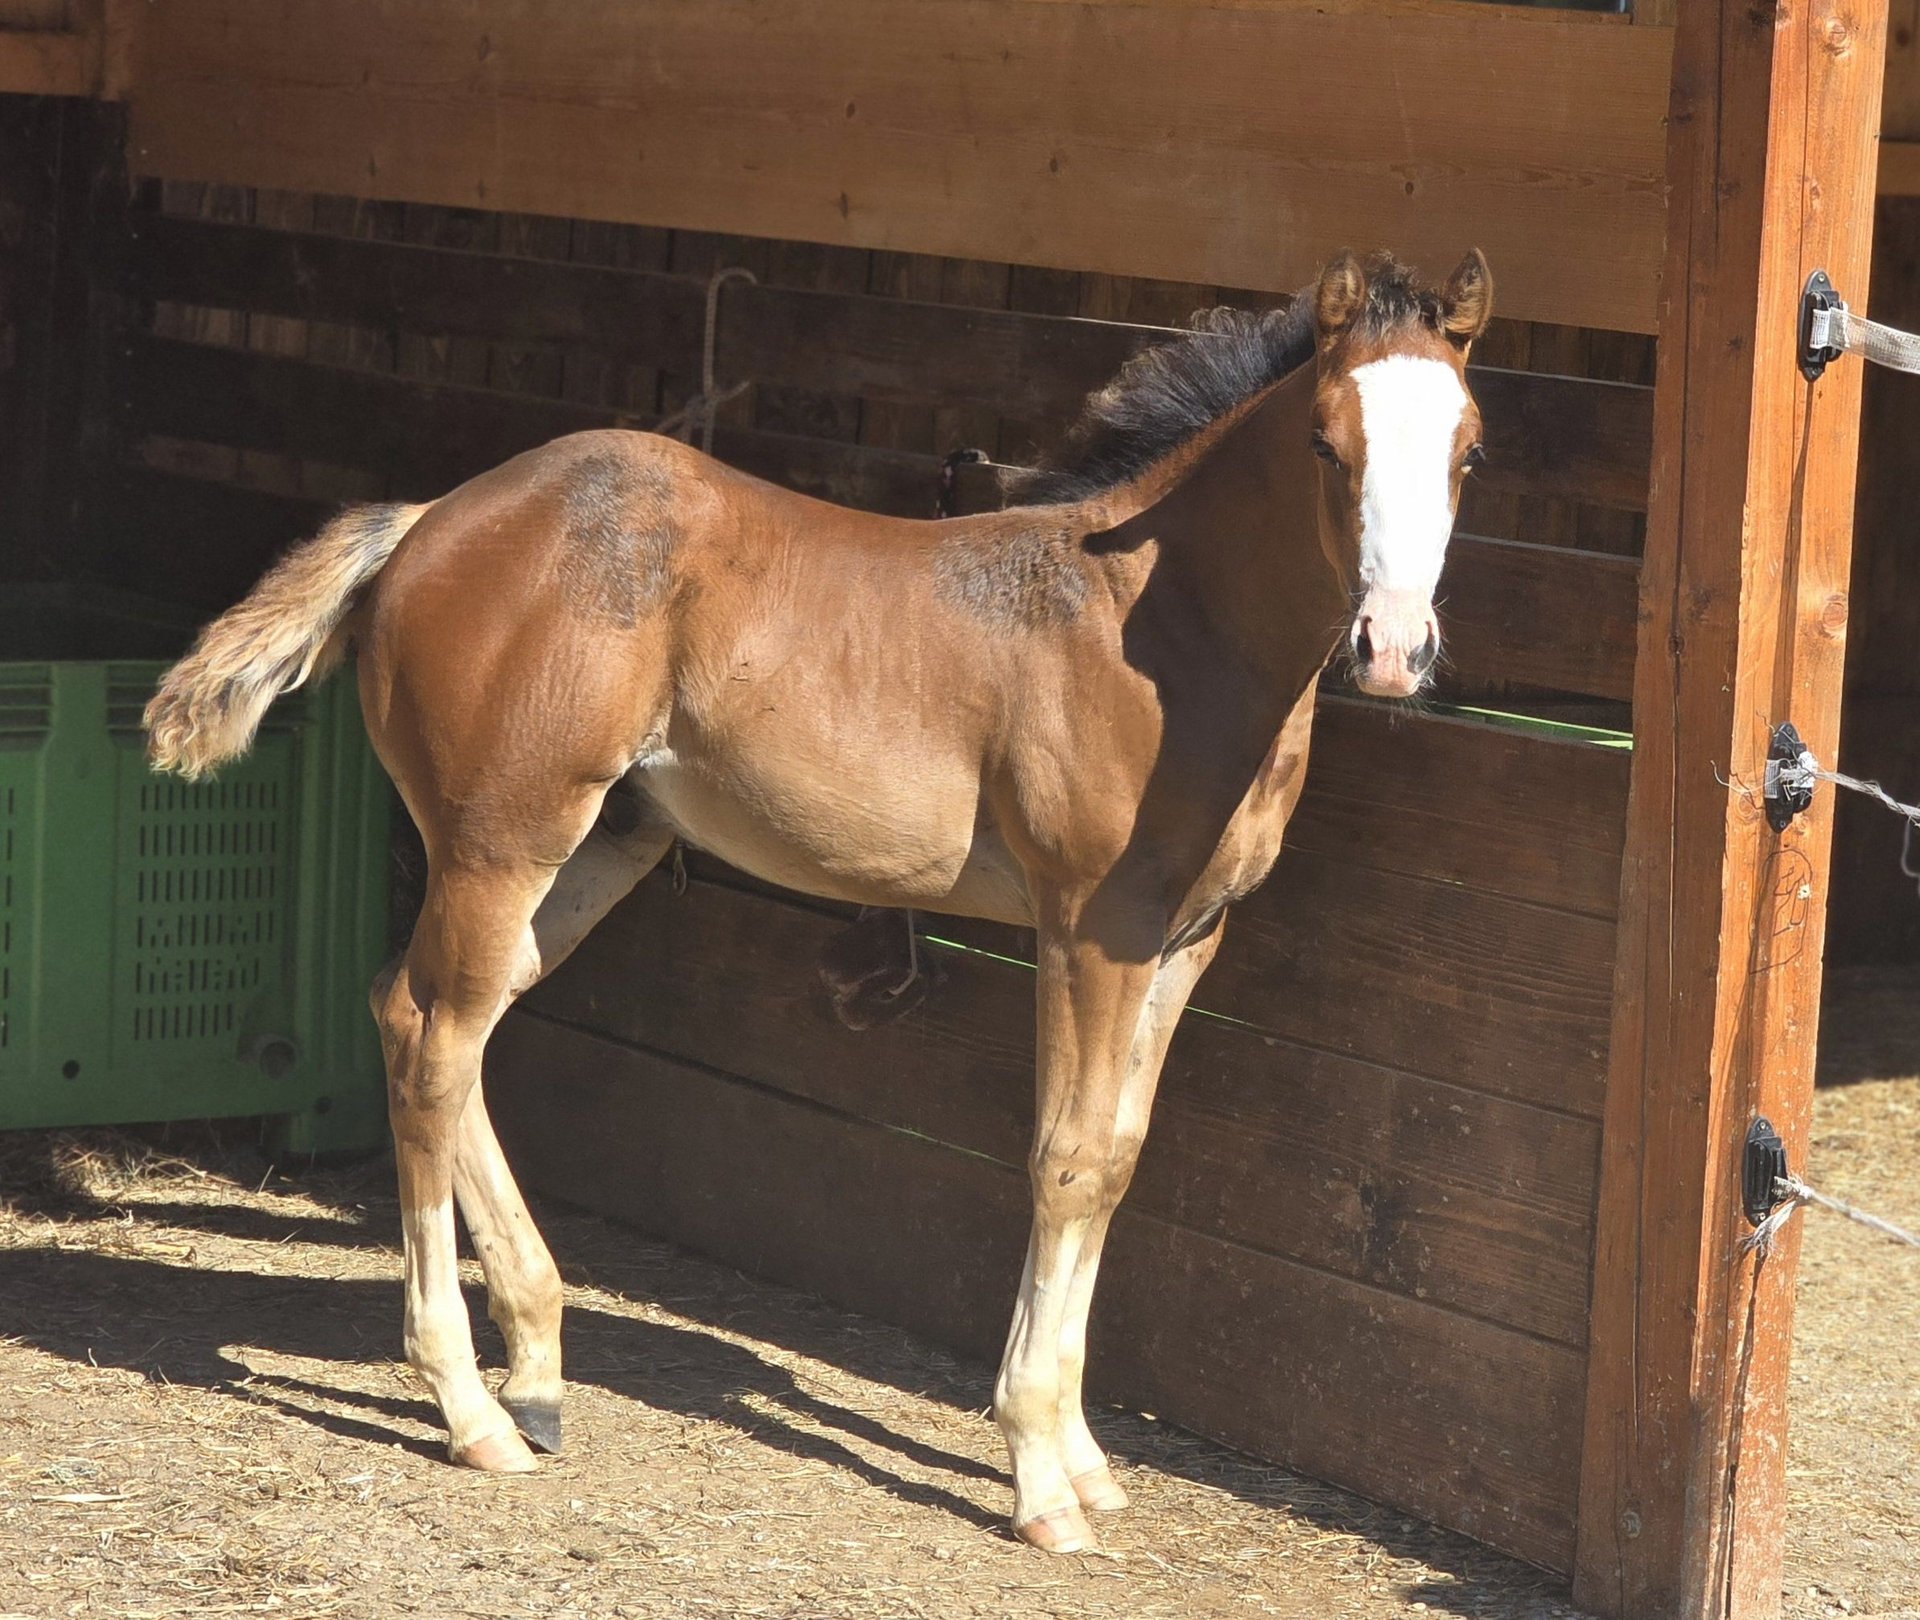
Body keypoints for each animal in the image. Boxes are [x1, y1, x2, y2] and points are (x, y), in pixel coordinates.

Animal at [145, 246, 1491, 1554]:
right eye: (1324, 441)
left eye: (1469, 448)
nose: (1394, 650)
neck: (1156, 633)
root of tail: (427, 520)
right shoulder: (1091, 930)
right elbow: (1062, 1161)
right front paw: (1039, 1479)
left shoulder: (1187, 940)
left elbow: (1115, 1159)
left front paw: (1089, 1463)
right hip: (502, 843)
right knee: (432, 1043)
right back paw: (471, 1408)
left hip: (596, 847)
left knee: (425, 1017)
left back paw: (536, 1366)